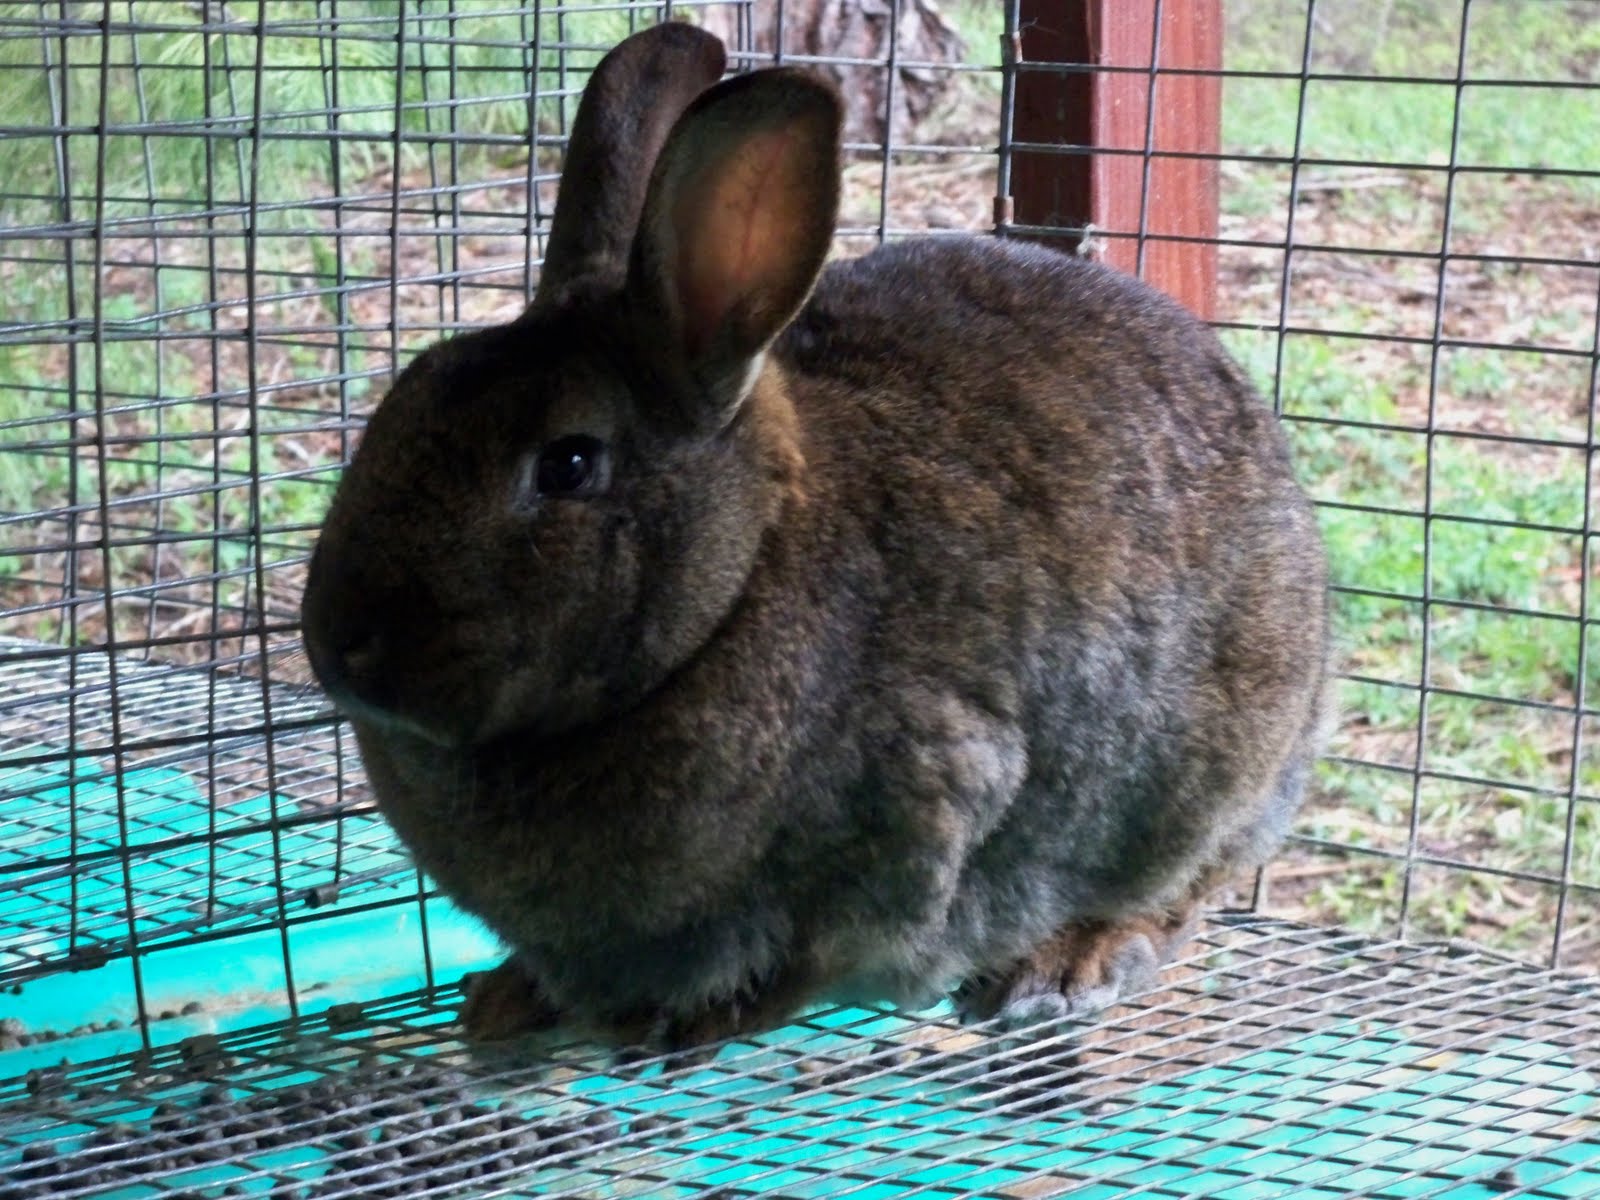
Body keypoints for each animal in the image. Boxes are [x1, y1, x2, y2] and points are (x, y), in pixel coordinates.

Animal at [299, 20, 1330, 1051]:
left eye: (568, 465)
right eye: (406, 393)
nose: (339, 648)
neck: (737, 583)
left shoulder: (930, 807)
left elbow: (816, 958)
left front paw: (693, 1024)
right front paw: (508, 1004)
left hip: (1213, 788)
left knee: (1179, 891)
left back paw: (1063, 965)